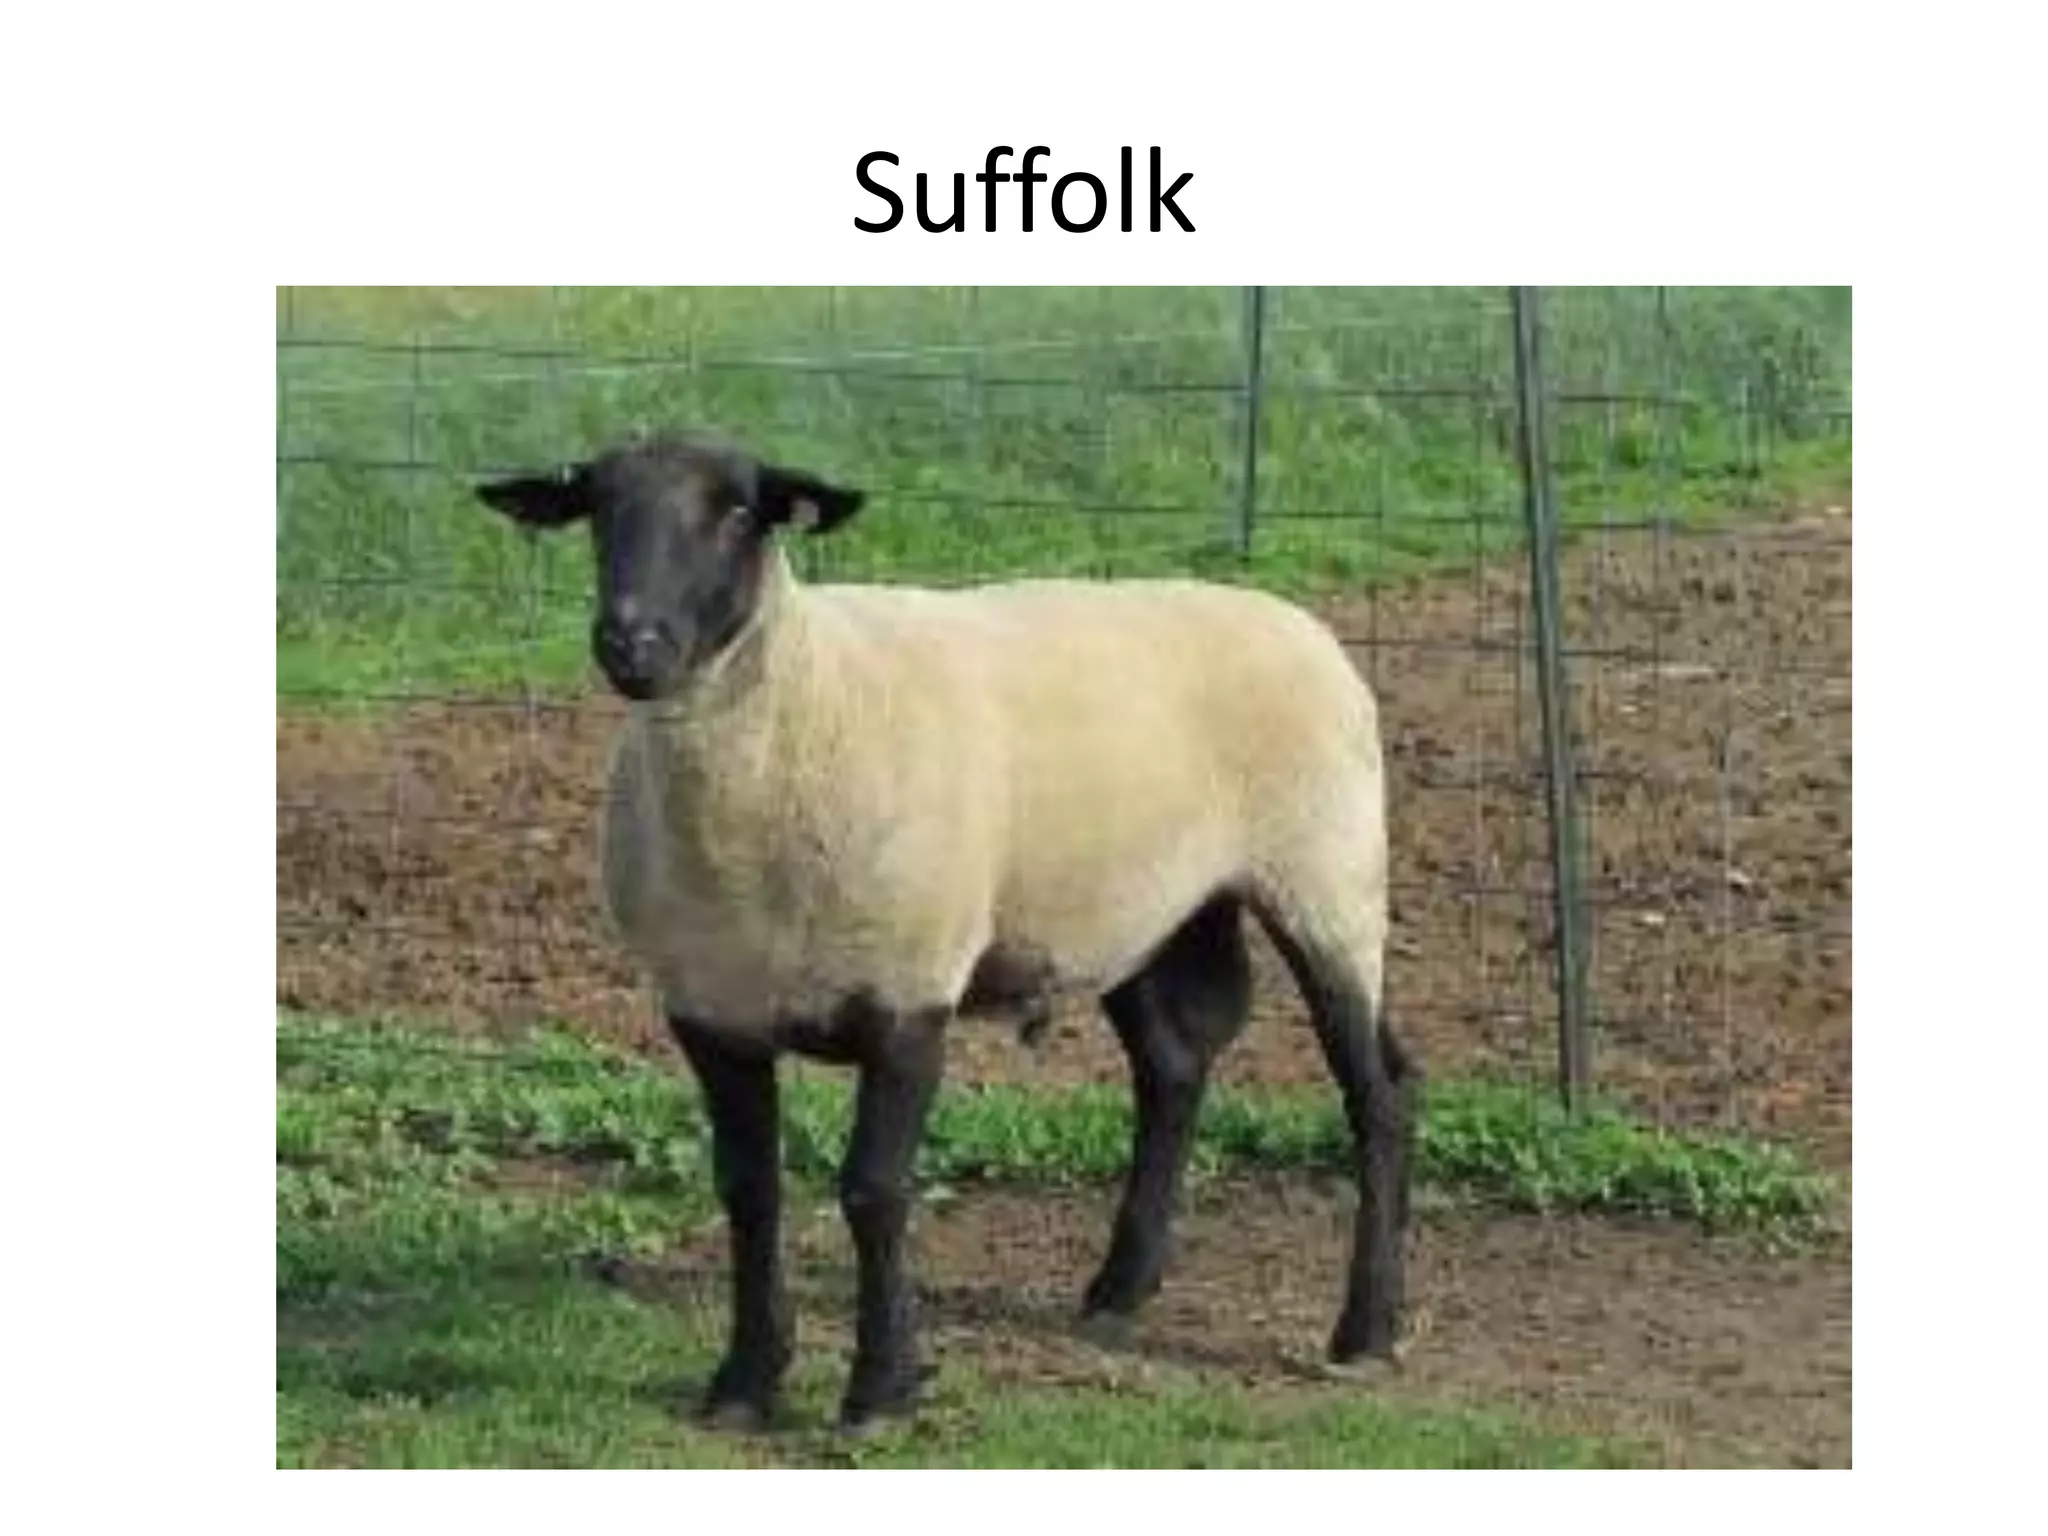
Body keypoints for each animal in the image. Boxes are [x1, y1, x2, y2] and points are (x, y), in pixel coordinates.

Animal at [476, 430, 1420, 1434]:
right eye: (598, 508)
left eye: (737, 510)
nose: (632, 643)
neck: (799, 705)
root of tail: (1295, 620)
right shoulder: (710, 1011)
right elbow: (749, 1189)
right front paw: (745, 1379)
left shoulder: (910, 990)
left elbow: (874, 1191)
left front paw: (881, 1388)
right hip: (1147, 910)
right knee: (1172, 1068)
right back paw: (1118, 1291)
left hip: (1330, 880)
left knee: (1378, 1095)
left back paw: (1364, 1329)